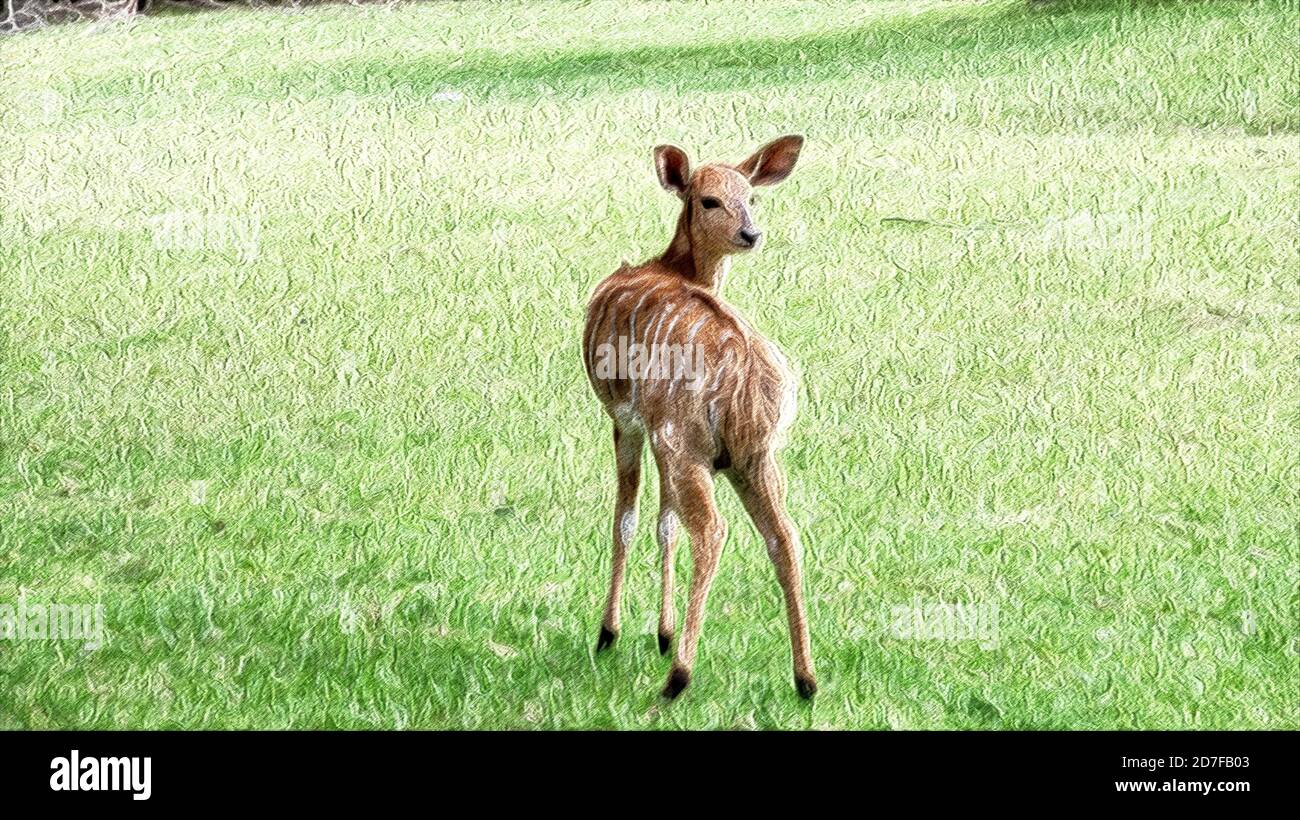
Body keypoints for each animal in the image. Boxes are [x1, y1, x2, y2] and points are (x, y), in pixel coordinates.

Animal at [581, 135, 815, 700]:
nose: (751, 234)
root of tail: (745, 383)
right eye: (709, 200)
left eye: (751, 197)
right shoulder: (655, 431)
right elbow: (663, 521)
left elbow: (628, 516)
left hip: (684, 440)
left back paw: (678, 677)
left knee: (711, 530)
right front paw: (660, 633)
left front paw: (611, 633)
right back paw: (805, 679)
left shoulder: (626, 418)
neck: (669, 265)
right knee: (785, 536)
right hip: (755, 454)